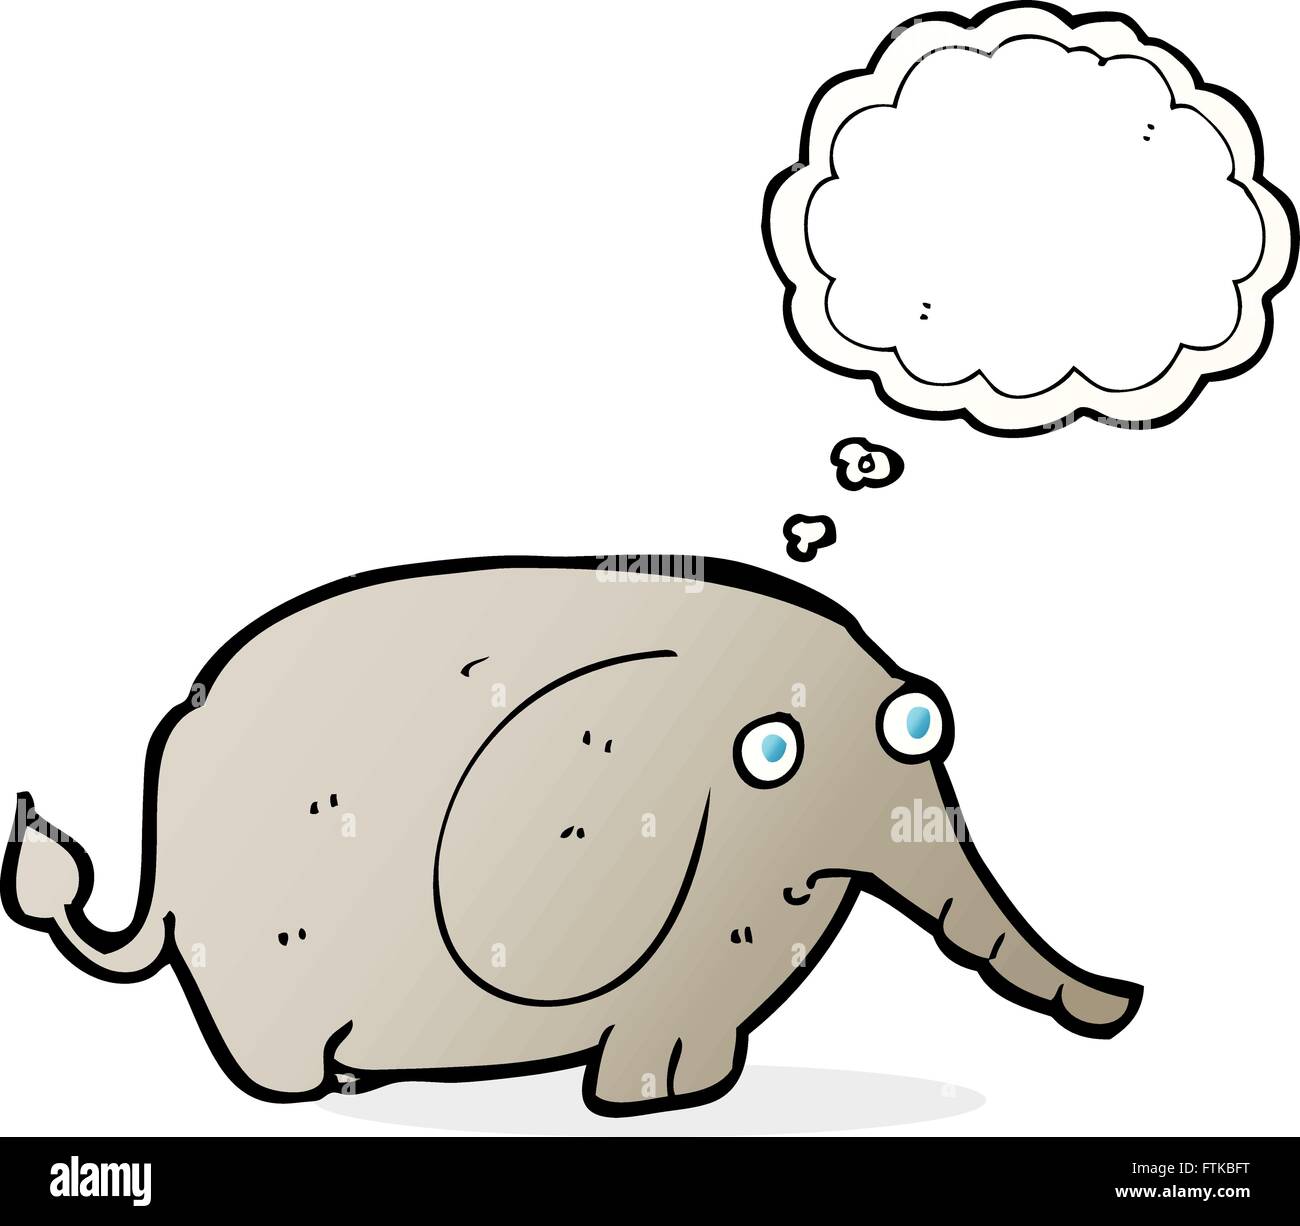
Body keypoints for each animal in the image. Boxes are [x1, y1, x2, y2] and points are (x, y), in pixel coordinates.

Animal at [2, 555, 1142, 1116]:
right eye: (770, 753)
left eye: (921, 725)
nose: (1125, 1002)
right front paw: (636, 1104)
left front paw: (682, 1096)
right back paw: (309, 1092)